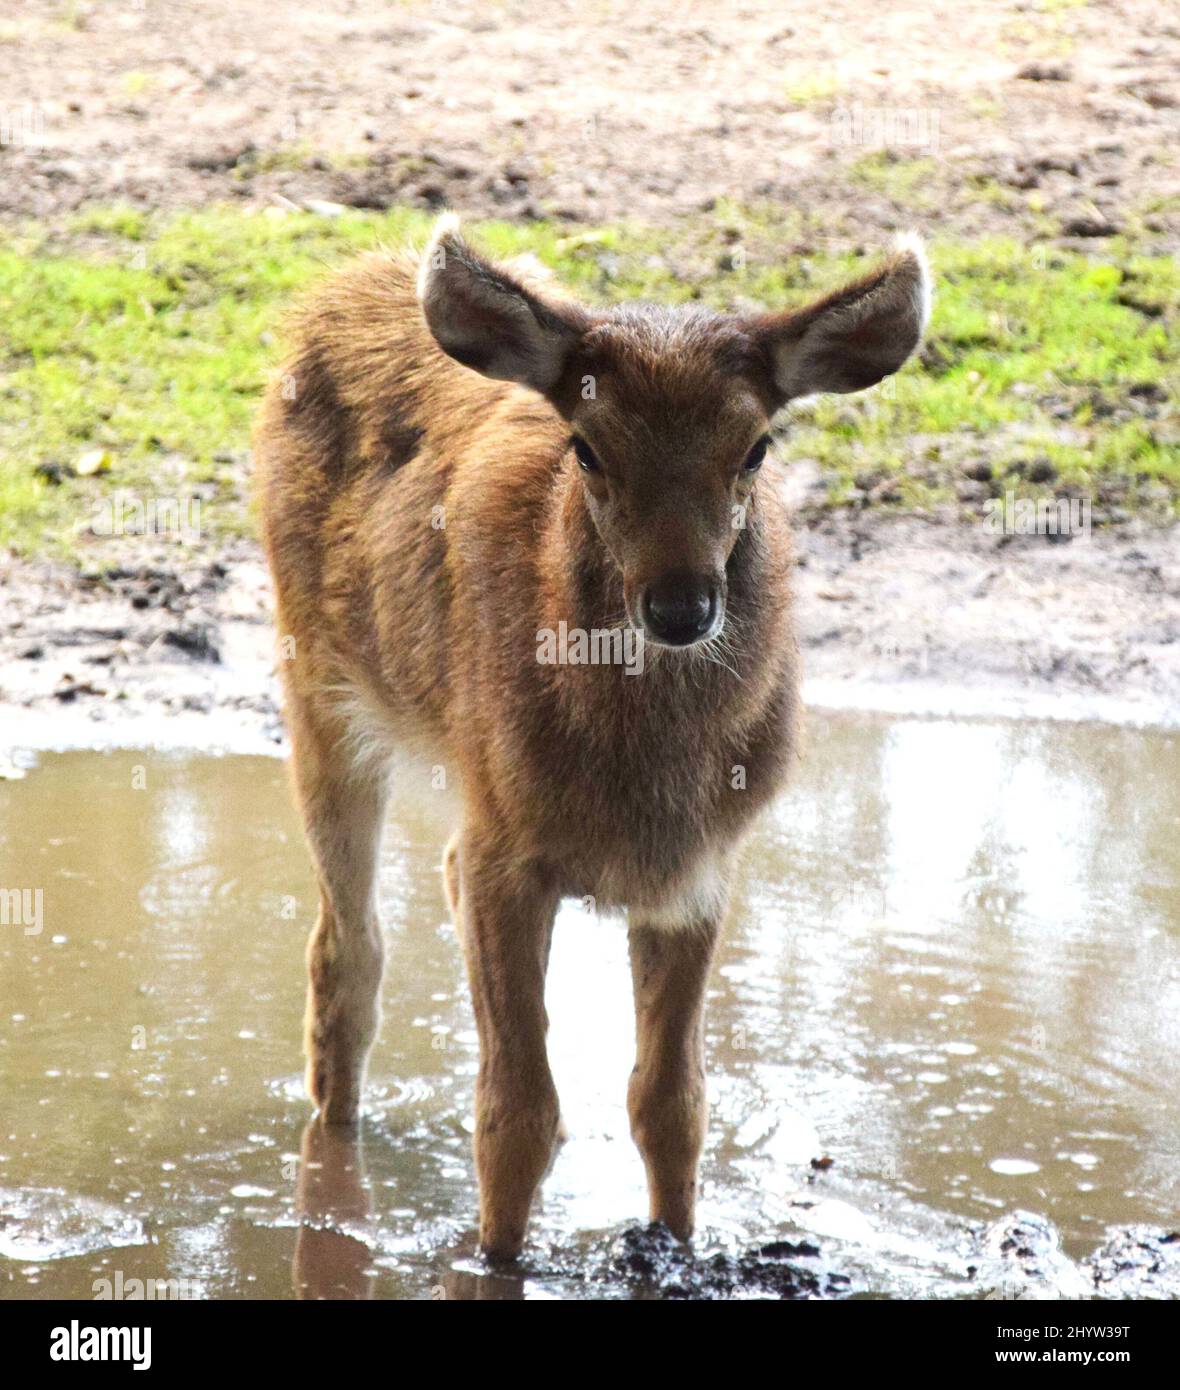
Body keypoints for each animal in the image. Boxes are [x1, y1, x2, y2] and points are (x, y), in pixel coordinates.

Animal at [254, 213, 930, 1260]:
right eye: (587, 446)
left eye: (756, 447)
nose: (681, 605)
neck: (638, 783)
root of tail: (339, 287)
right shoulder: (502, 846)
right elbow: (515, 1115)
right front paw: (494, 1259)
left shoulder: (699, 870)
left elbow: (672, 1105)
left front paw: (675, 1244)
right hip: (315, 680)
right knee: (346, 952)